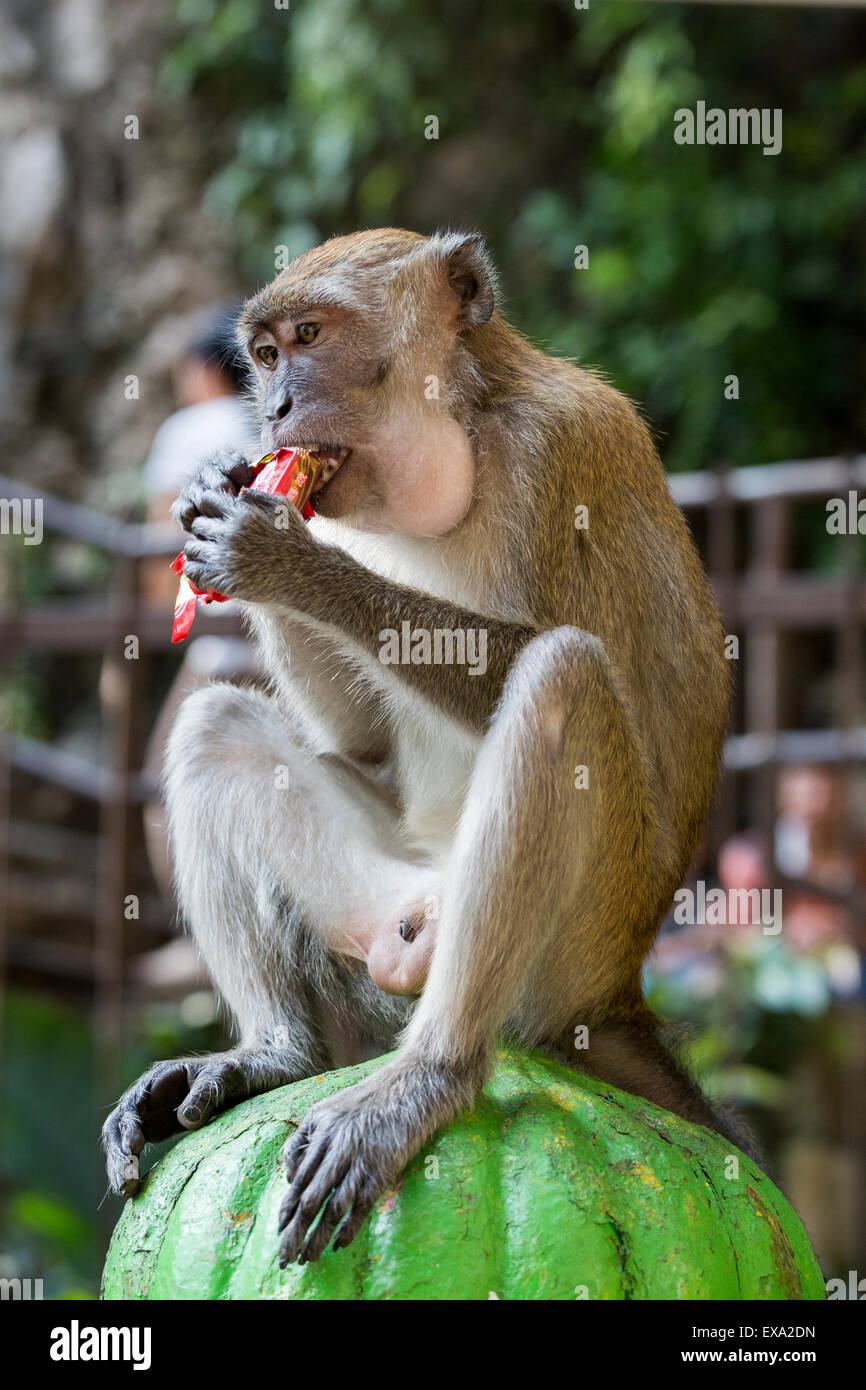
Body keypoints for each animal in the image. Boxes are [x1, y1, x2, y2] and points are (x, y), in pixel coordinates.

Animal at [103, 227, 758, 1266]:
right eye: (266, 355)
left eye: (310, 336)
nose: (273, 408)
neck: (464, 434)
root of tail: (618, 993)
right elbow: (357, 736)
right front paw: (218, 492)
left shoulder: (563, 453)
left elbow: (564, 655)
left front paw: (279, 557)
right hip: (383, 901)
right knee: (212, 725)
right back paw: (274, 1054)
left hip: (572, 951)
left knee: (563, 680)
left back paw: (429, 1080)